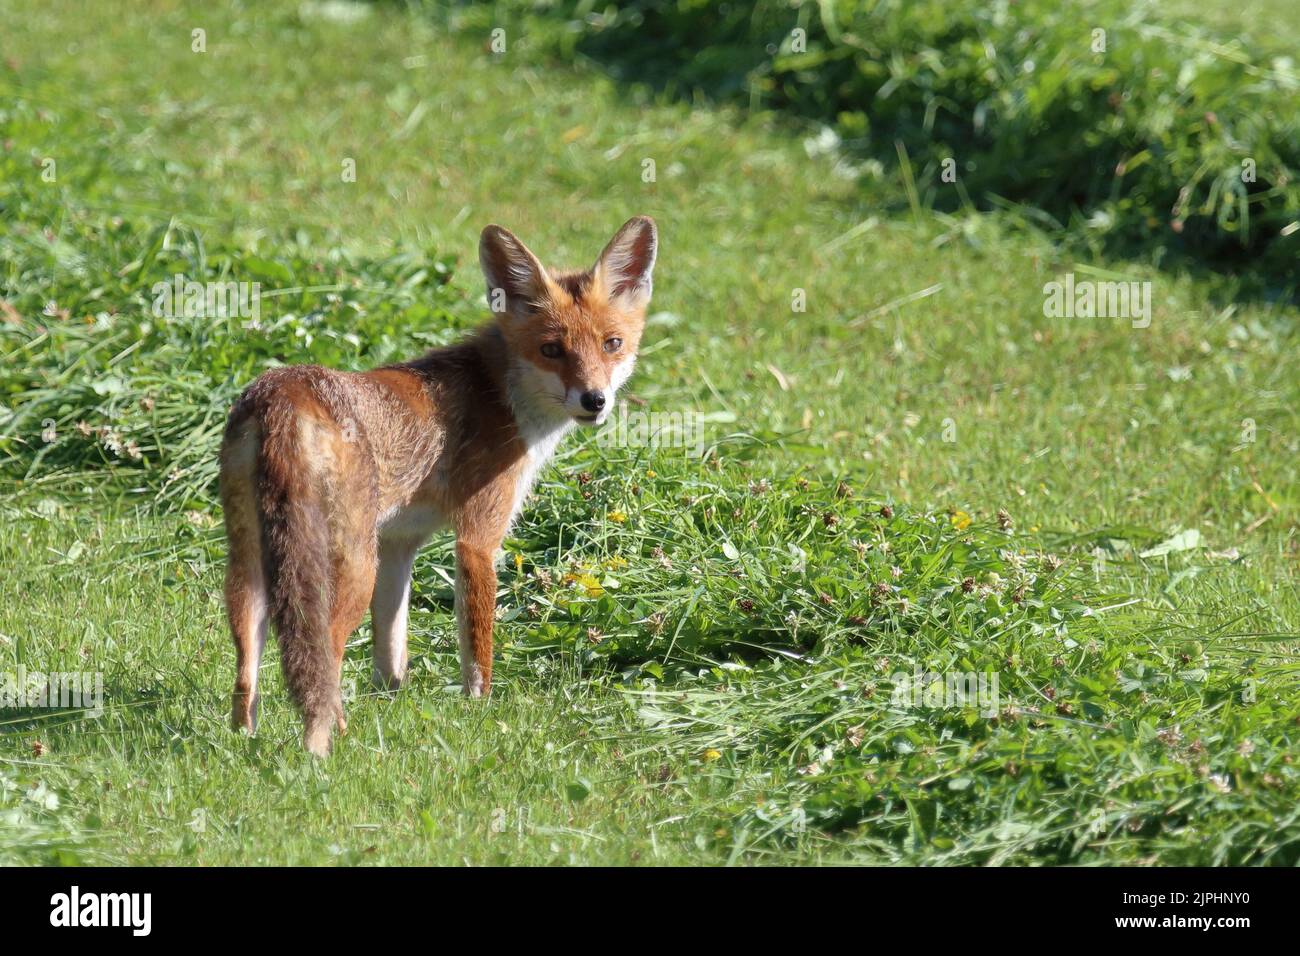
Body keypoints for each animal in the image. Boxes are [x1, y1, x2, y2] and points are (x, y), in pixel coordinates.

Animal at [219, 216, 657, 755]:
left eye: (611, 344)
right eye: (552, 350)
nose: (594, 400)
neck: (503, 394)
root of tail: (283, 392)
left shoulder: (399, 543)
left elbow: (392, 651)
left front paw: (392, 700)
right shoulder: (476, 537)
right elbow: (477, 648)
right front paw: (479, 710)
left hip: (251, 562)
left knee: (248, 669)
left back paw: (244, 740)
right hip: (350, 566)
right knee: (327, 656)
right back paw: (331, 741)